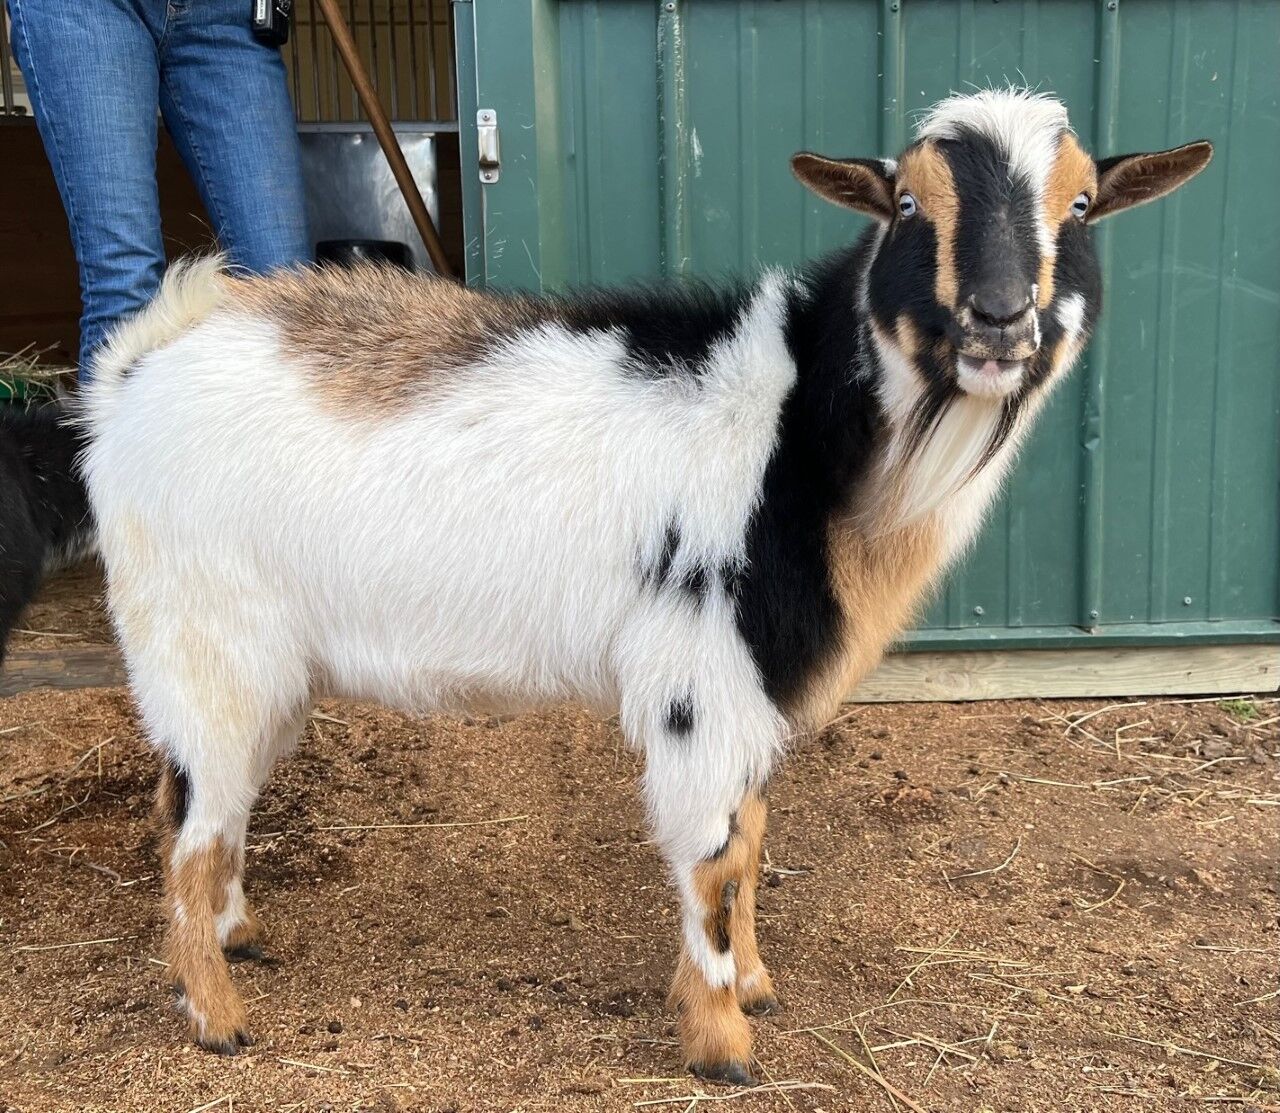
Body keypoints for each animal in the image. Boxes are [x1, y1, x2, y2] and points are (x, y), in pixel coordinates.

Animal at [79, 89, 1211, 1081]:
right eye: (904, 204)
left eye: (1079, 205)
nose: (997, 319)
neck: (810, 435)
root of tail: (135, 370)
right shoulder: (700, 674)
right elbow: (711, 854)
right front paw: (721, 1044)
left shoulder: (755, 684)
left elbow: (750, 836)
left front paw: (751, 986)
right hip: (200, 636)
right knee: (187, 823)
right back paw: (216, 1017)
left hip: (261, 665)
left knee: (207, 800)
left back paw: (239, 935)